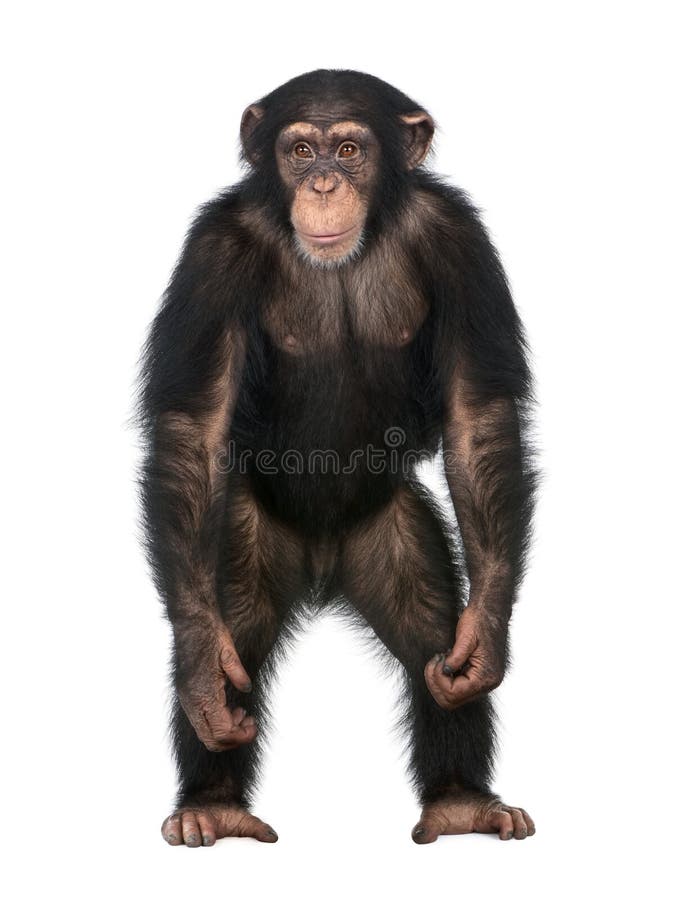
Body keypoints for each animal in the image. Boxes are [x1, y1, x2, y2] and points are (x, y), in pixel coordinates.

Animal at [138, 69, 537, 846]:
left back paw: (461, 799)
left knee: (429, 637)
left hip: (394, 532)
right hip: (245, 542)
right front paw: (200, 672)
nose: (322, 182)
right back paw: (211, 804)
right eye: (300, 151)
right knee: (238, 638)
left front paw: (487, 639)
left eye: (349, 149)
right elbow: (194, 429)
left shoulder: (459, 239)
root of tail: (323, 572)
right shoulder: (212, 253)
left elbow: (478, 414)